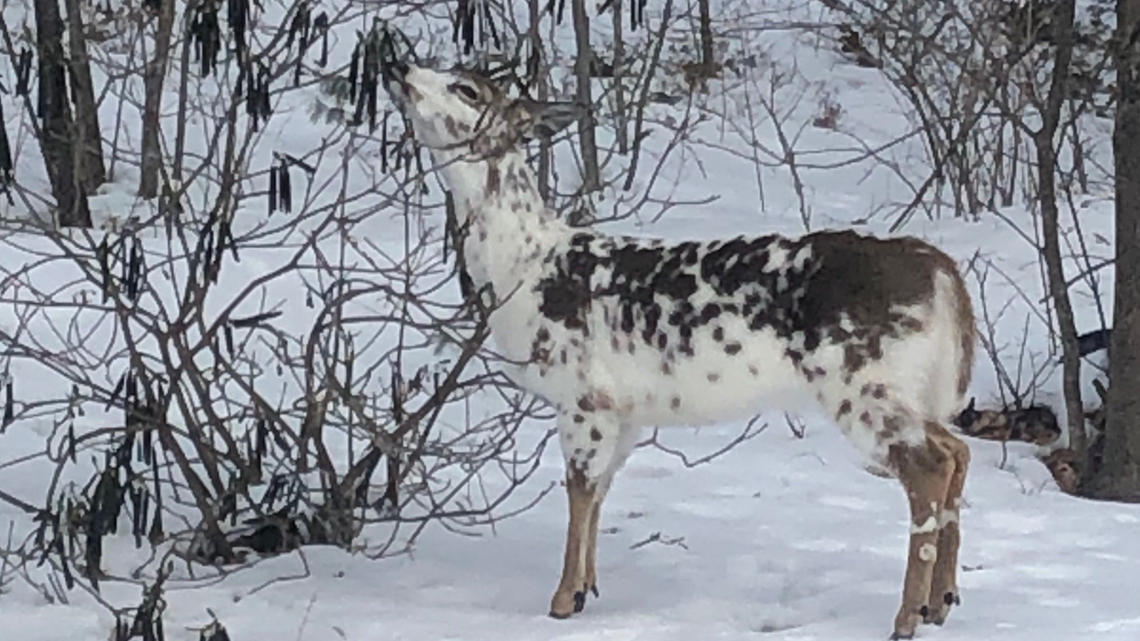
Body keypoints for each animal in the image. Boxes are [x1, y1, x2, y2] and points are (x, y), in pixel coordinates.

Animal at [379, 53, 977, 640]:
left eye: (467, 89)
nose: (400, 68)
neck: (522, 268)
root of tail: (940, 271)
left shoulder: (582, 393)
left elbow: (578, 490)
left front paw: (562, 600)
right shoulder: (624, 410)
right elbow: (598, 494)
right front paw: (586, 588)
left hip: (861, 376)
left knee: (928, 465)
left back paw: (906, 618)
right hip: (904, 385)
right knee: (956, 449)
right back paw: (942, 602)